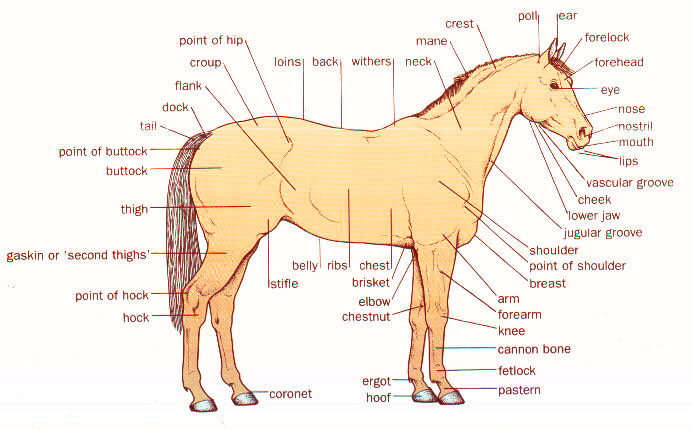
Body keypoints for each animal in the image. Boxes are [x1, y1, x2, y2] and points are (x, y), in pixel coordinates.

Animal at [165, 38, 592, 411]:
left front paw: (421, 389)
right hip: (231, 244)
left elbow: (418, 315)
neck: (450, 148)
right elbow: (439, 312)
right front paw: (448, 390)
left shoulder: (421, 250)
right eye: (554, 84)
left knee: (222, 306)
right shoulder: (439, 247)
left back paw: (241, 391)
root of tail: (209, 137)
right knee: (196, 299)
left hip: (244, 244)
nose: (584, 133)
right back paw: (200, 397)